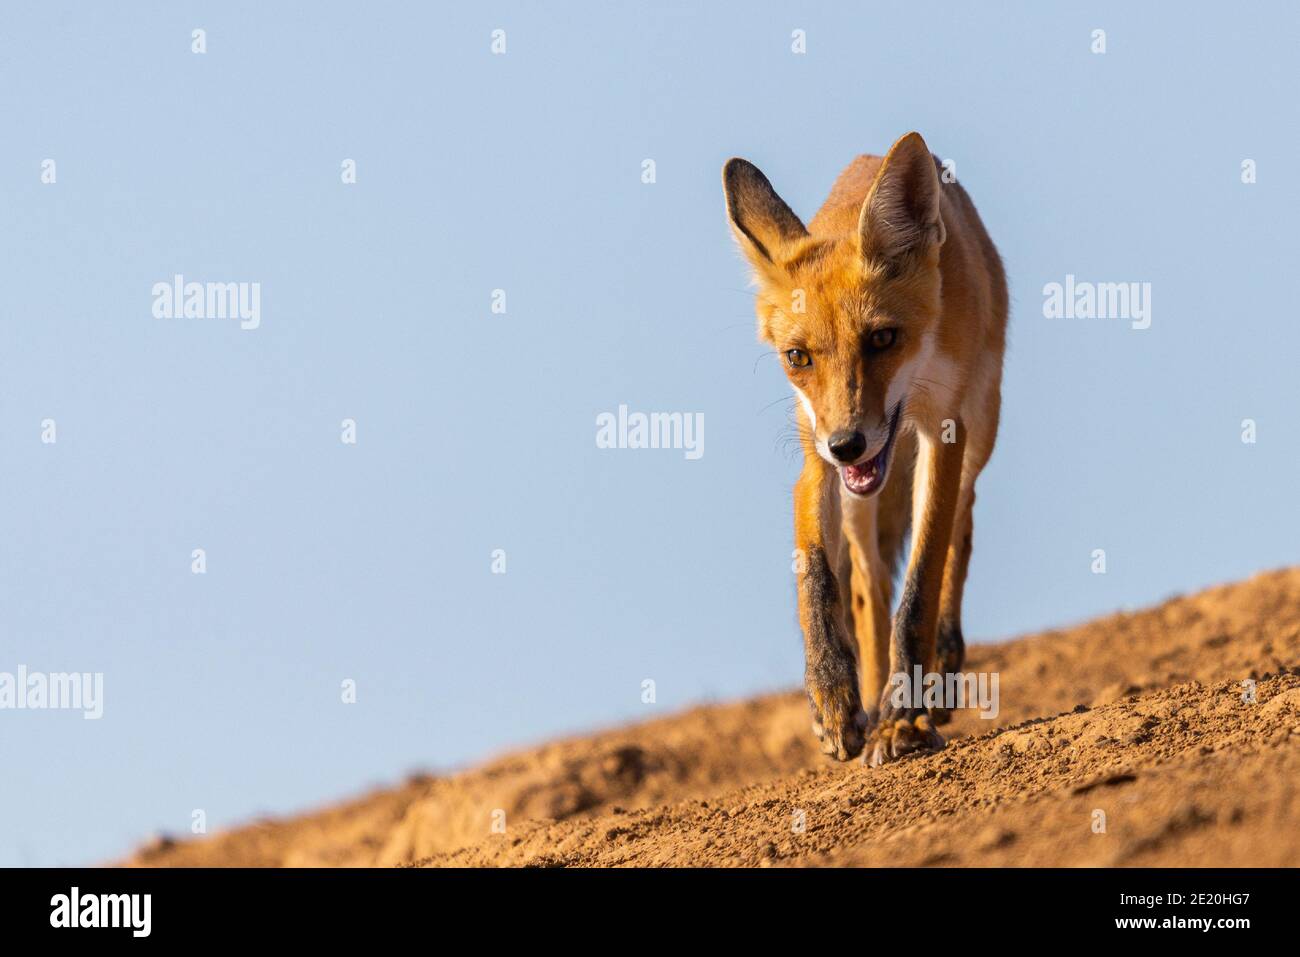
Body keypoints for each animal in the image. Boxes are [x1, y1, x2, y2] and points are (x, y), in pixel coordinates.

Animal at [723, 132, 1008, 765]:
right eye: (798, 357)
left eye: (881, 338)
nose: (848, 445)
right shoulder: (812, 451)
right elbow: (816, 577)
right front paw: (833, 698)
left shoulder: (945, 431)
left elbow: (921, 585)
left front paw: (905, 719)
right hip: (860, 502)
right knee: (868, 587)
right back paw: (873, 693)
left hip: (982, 425)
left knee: (963, 527)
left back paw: (937, 668)